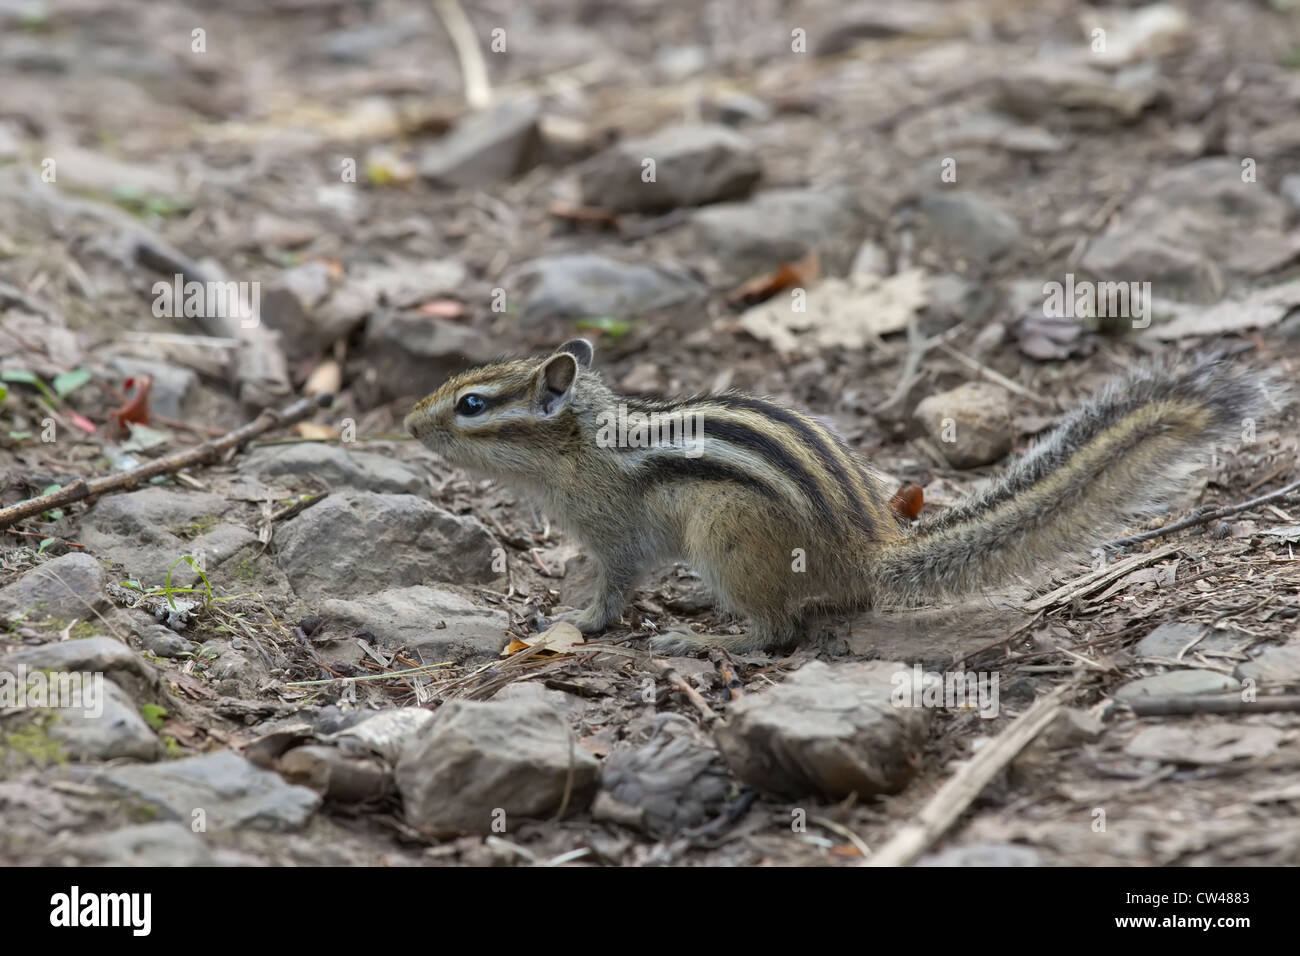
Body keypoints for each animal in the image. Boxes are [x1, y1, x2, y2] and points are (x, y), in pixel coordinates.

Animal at [405, 338, 1274, 654]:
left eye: (471, 404)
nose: (408, 423)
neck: (581, 442)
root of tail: (870, 546)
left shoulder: (612, 532)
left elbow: (613, 585)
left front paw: (580, 621)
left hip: (729, 540)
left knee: (778, 630)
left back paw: (709, 641)